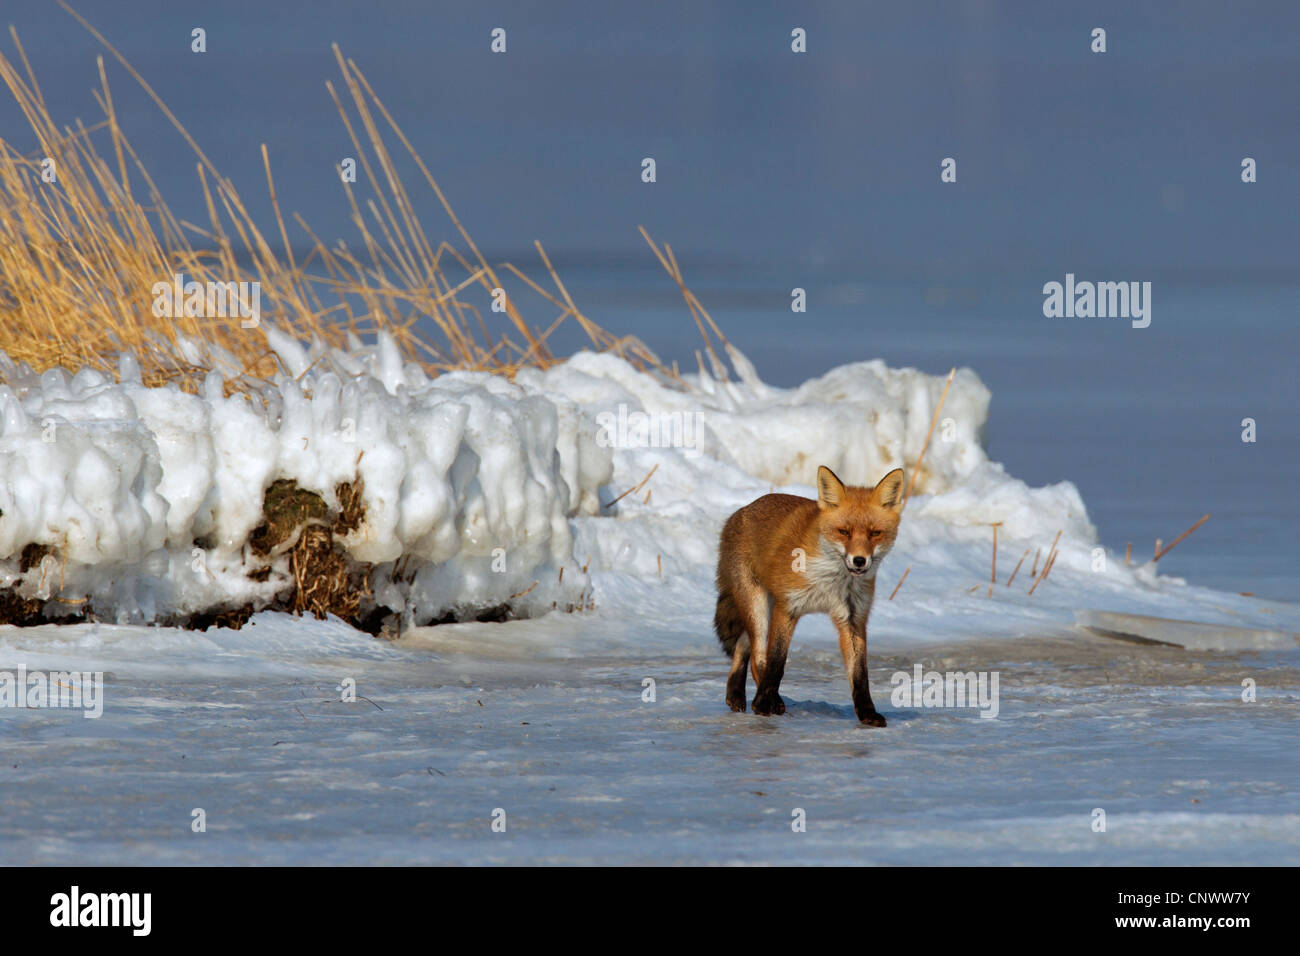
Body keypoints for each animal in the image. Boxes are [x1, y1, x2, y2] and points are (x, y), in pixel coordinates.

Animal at [714, 465, 905, 726]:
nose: (859, 560)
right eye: (843, 532)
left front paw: (867, 713)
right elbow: (776, 662)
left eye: (875, 533)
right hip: (758, 605)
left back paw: (735, 694)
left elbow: (860, 675)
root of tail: (740, 511)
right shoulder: (788, 607)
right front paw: (763, 703)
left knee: (744, 643)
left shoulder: (853, 618)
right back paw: (769, 702)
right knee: (757, 655)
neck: (830, 579)